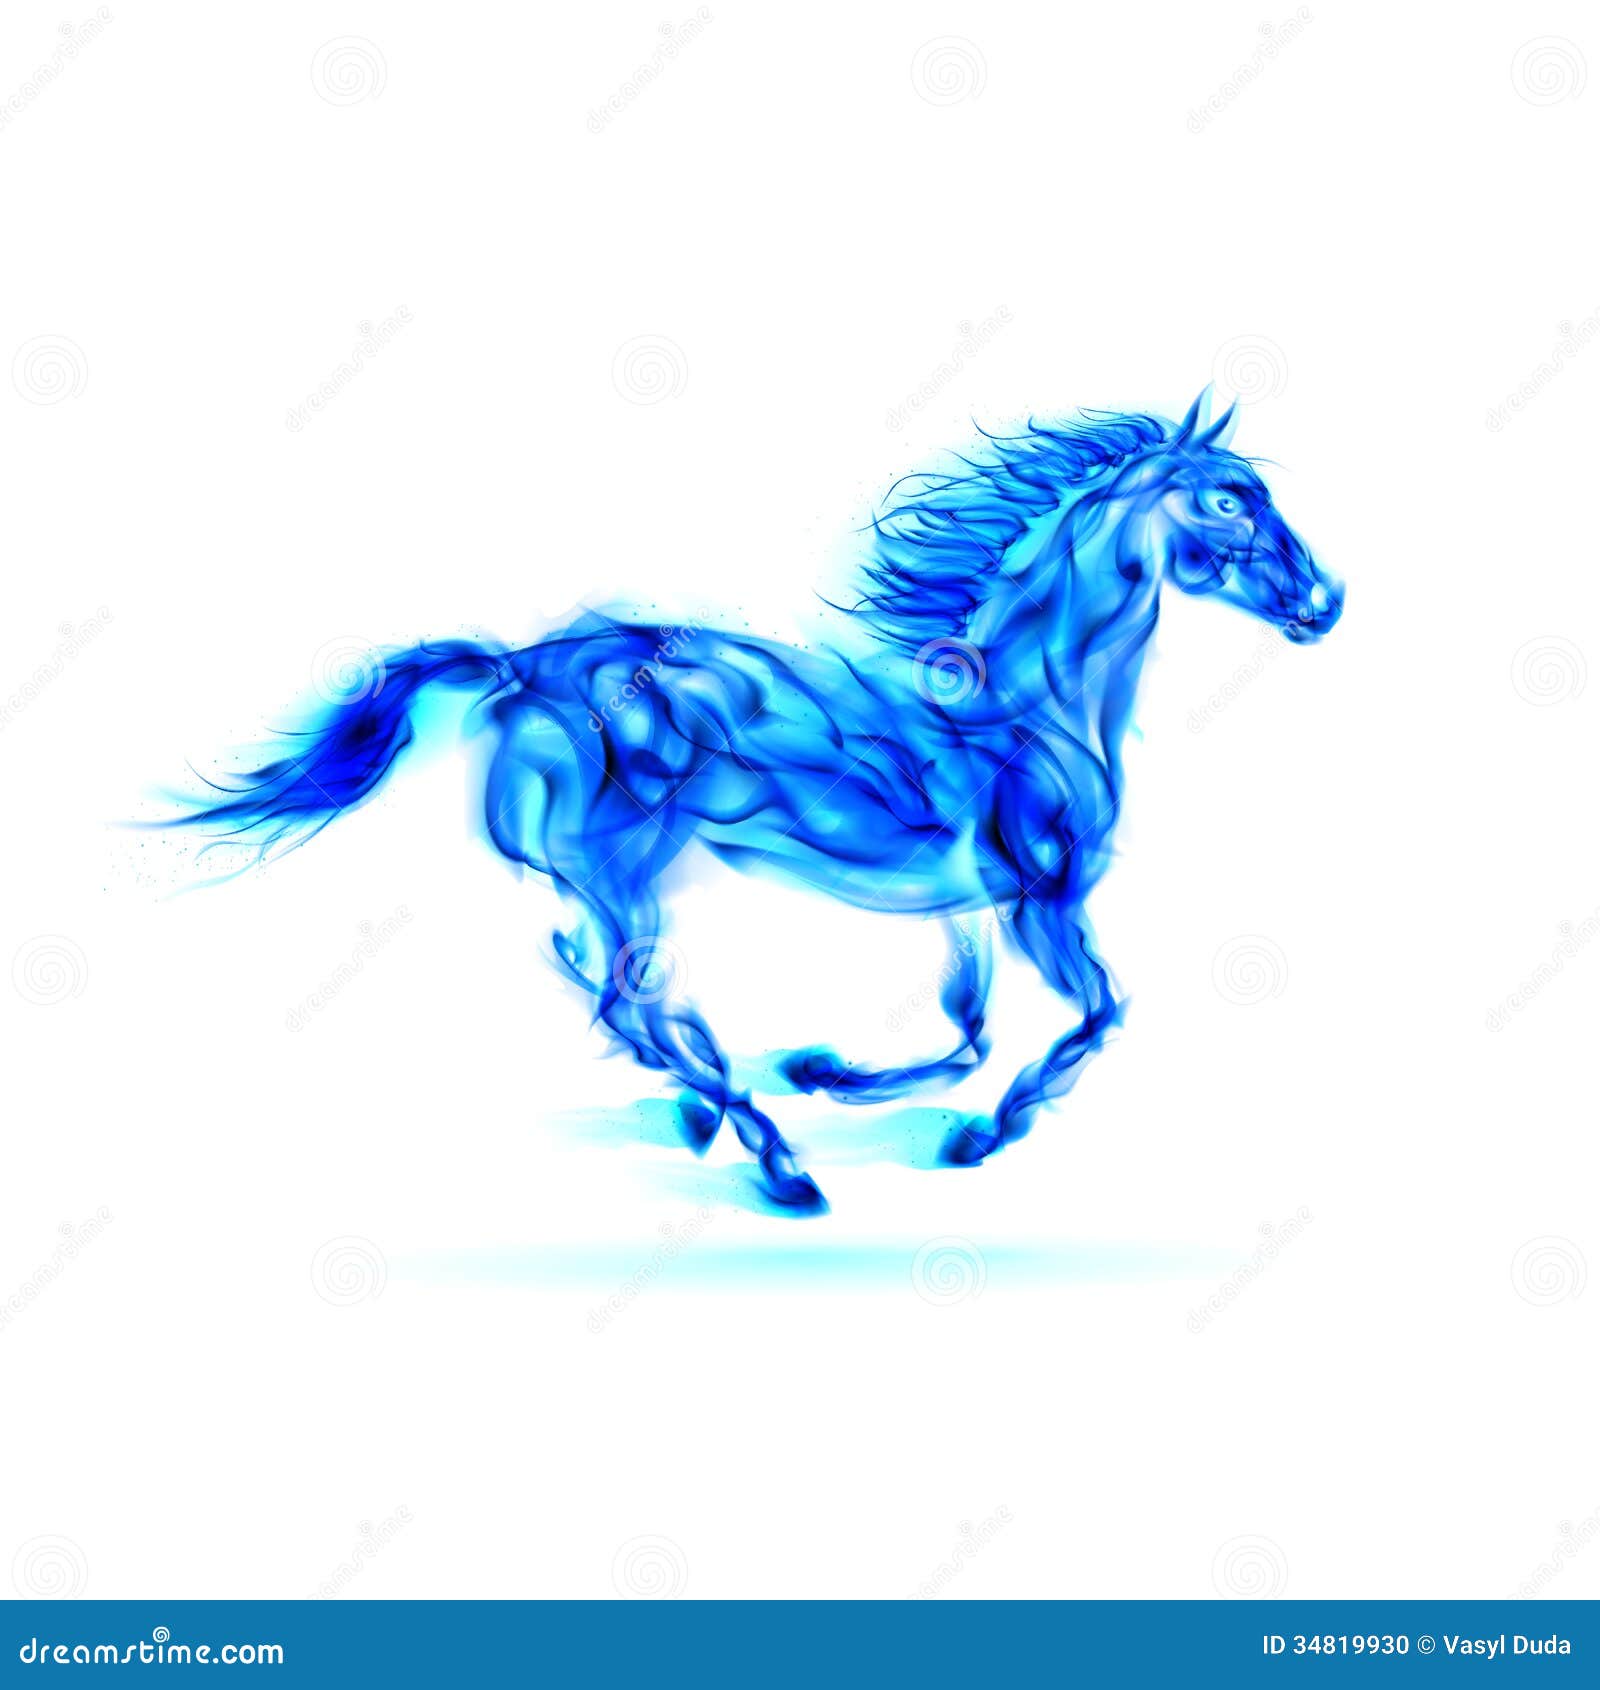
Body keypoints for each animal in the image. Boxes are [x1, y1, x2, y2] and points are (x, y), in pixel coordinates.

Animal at [168, 391, 1342, 1213]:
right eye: (1230, 498)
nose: (1324, 603)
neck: (1030, 706)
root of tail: (521, 667)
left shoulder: (968, 903)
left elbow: (967, 1029)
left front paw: (831, 1072)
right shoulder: (1043, 901)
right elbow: (1094, 1014)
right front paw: (972, 1138)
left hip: (599, 879)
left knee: (602, 980)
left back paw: (713, 1104)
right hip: (622, 868)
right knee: (627, 999)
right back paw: (776, 1163)